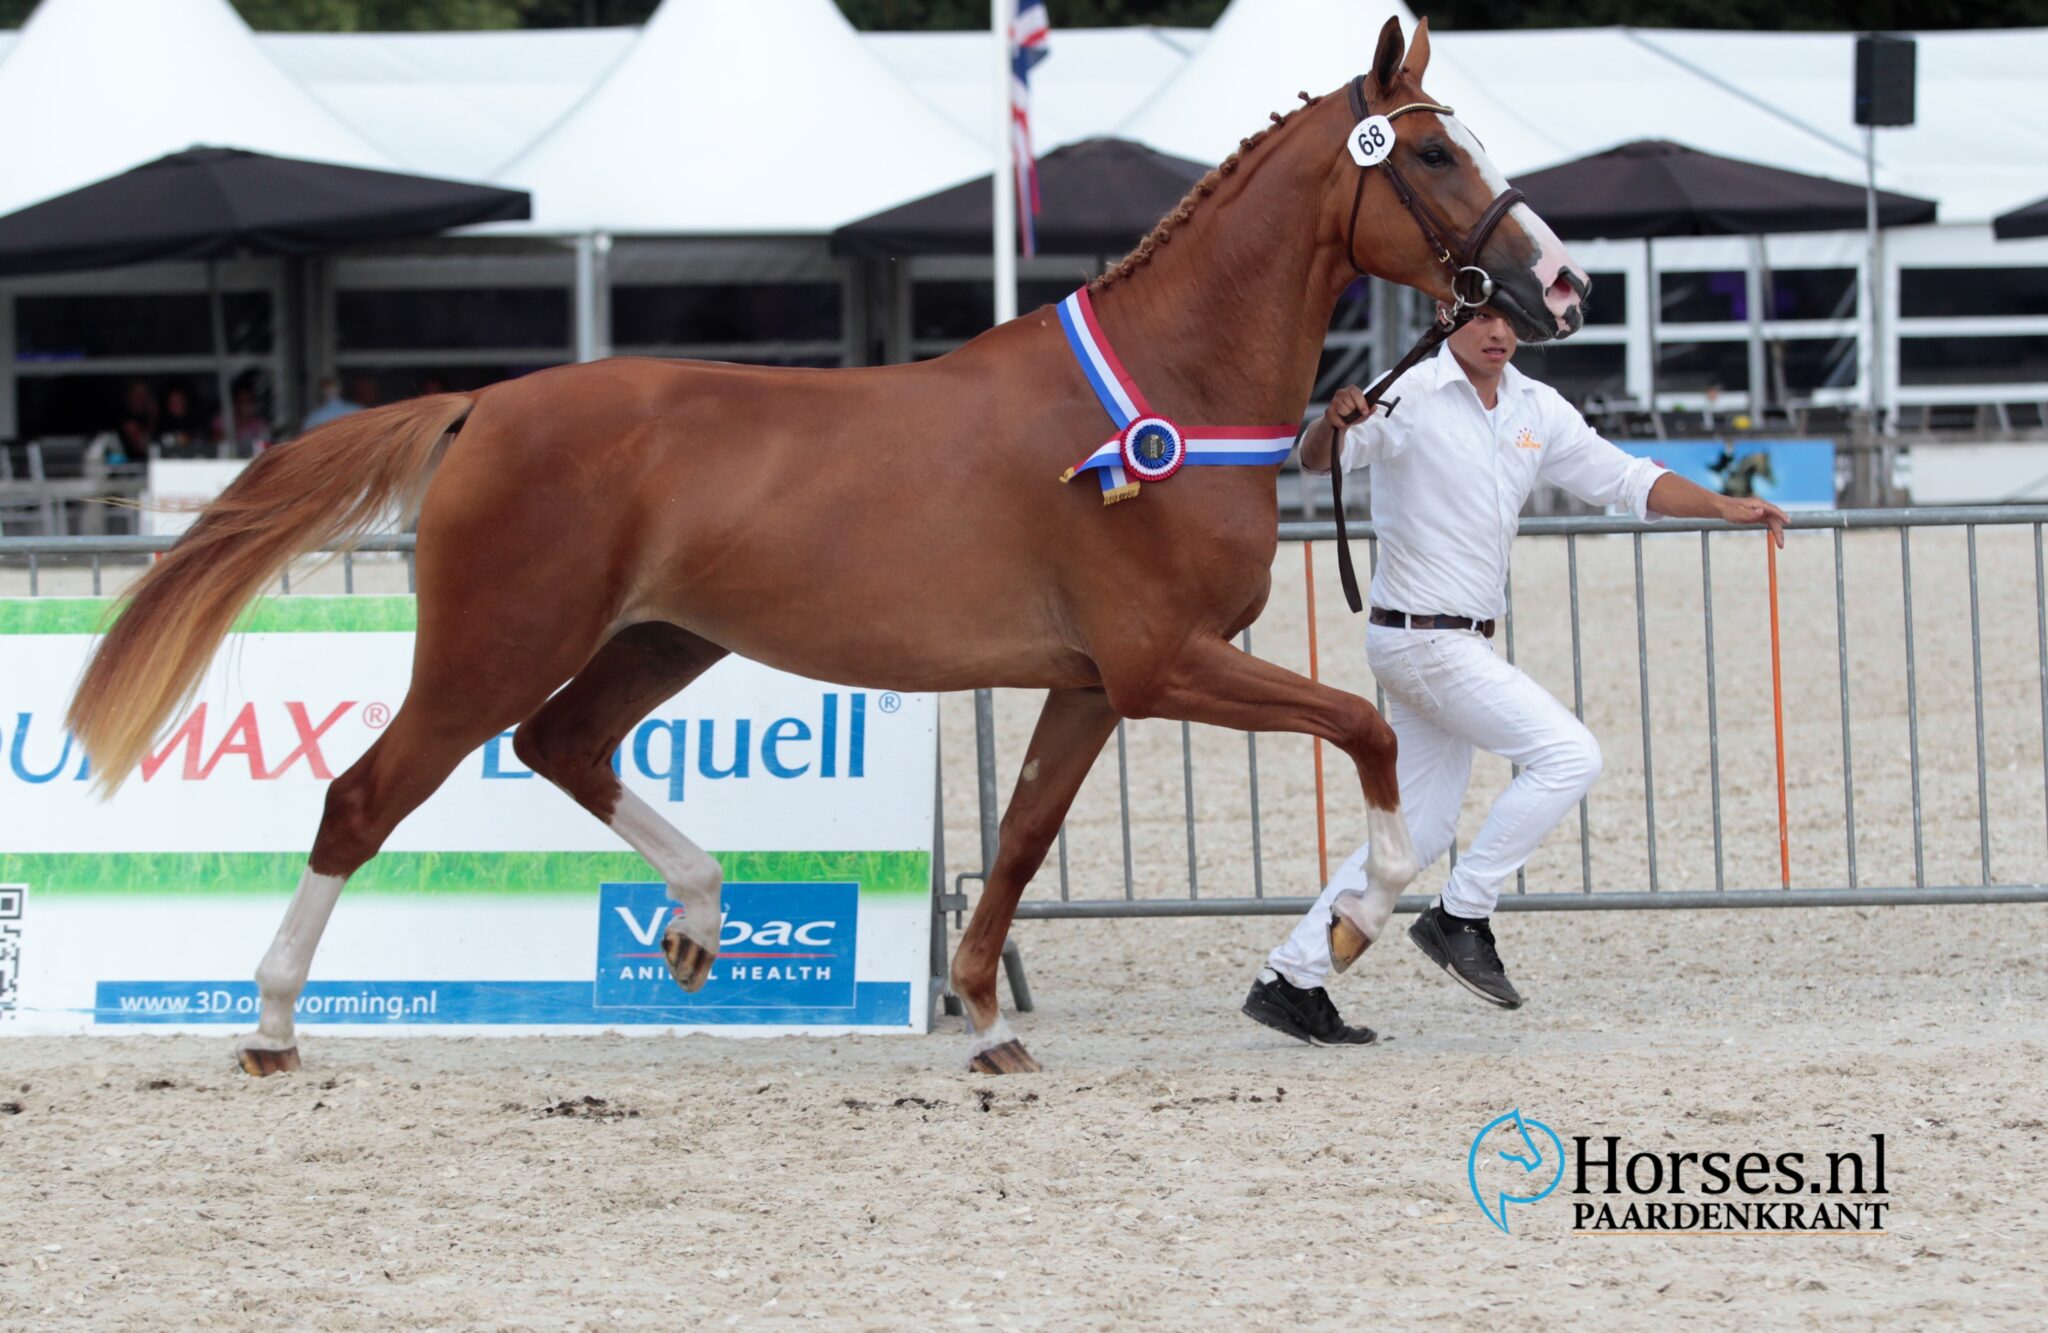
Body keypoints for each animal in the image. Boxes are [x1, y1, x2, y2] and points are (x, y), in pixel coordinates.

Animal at [66, 17, 1588, 1077]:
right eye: (1435, 153)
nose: (1561, 284)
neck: (1165, 392)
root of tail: (483, 402)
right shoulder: (1166, 664)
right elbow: (1368, 735)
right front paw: (1355, 918)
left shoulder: (1092, 685)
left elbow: (1022, 838)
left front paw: (986, 1023)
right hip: (496, 647)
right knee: (363, 796)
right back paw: (271, 1024)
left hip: (659, 640)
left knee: (565, 747)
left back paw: (696, 919)